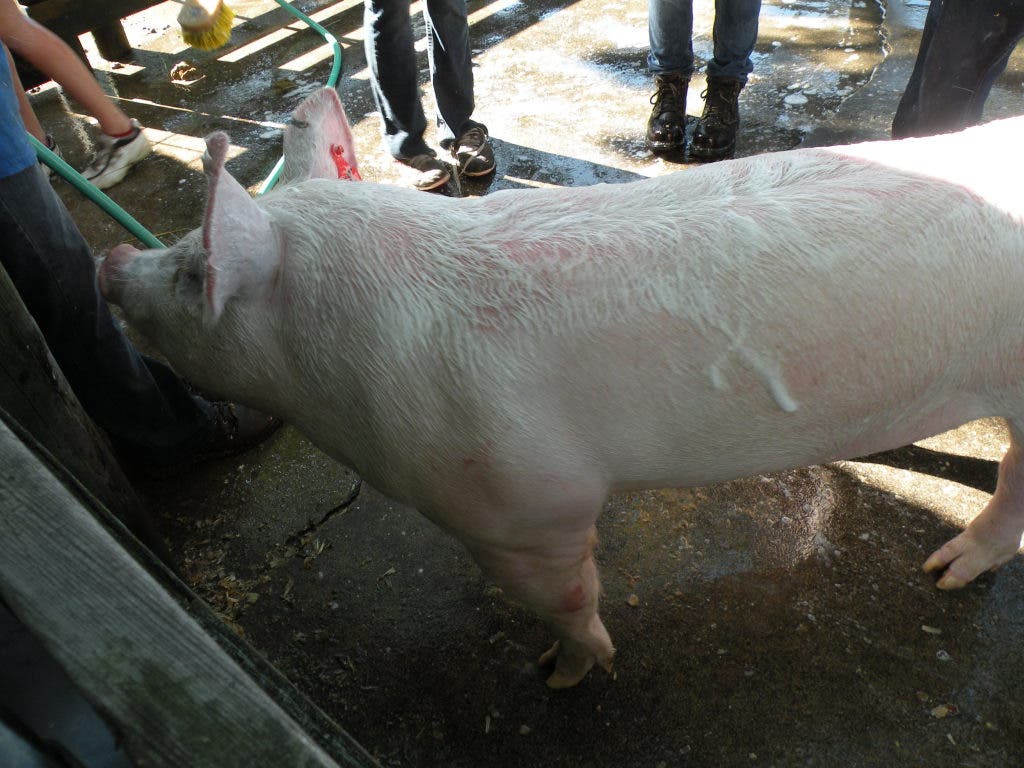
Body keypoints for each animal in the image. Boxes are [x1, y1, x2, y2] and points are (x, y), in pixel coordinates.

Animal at [99, 87, 1024, 688]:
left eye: (192, 273)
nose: (110, 260)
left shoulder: (524, 508)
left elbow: (567, 597)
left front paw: (560, 674)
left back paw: (944, 571)